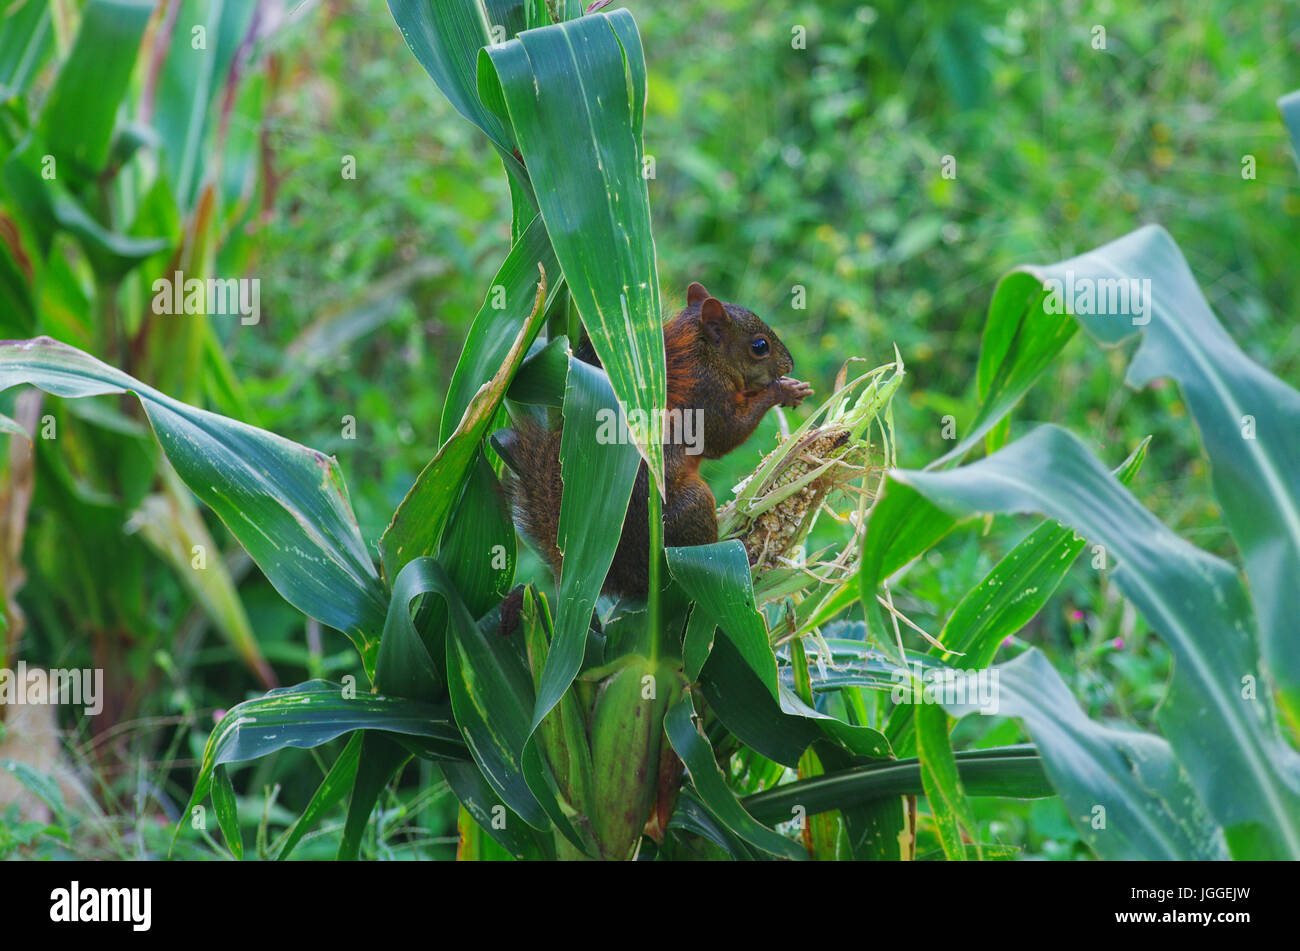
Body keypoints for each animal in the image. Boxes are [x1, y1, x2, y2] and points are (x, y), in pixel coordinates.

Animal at [498, 281, 812, 601]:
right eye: (760, 346)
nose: (789, 364)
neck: (705, 354)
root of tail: (621, 581)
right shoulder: (706, 394)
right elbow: (724, 436)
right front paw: (781, 391)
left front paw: (792, 388)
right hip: (688, 508)